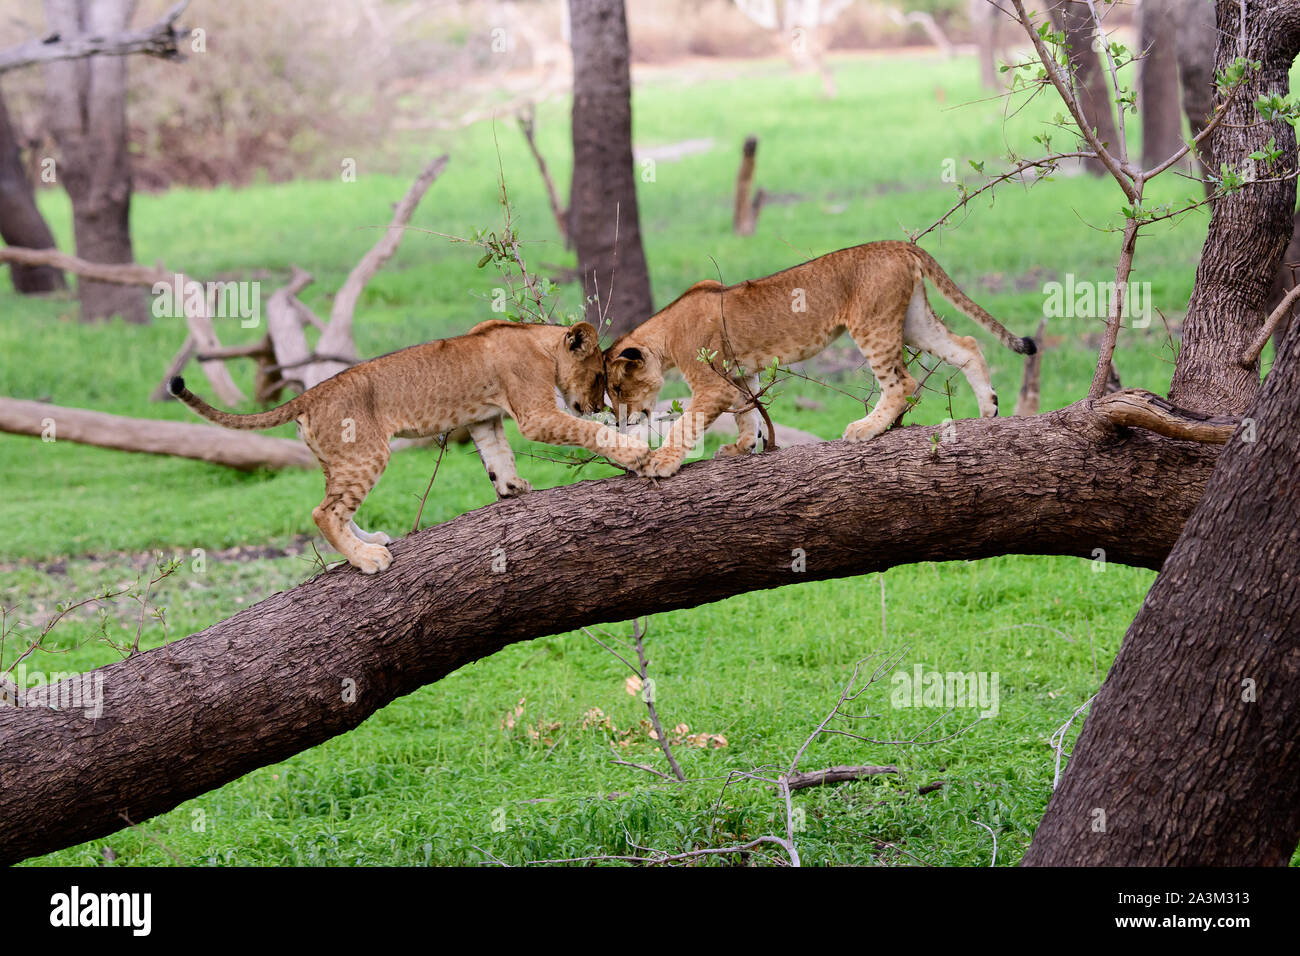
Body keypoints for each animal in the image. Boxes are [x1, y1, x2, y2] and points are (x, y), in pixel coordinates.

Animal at [169, 320, 649, 572]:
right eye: (598, 377)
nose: (596, 405)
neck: (538, 341)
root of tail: (309, 394)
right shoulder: (535, 414)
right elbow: (586, 433)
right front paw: (633, 453)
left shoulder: (483, 418)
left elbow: (498, 454)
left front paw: (512, 489)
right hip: (368, 453)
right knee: (323, 512)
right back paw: (367, 559)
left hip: (341, 459)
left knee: (335, 506)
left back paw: (370, 540)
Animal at [604, 241, 1036, 477]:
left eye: (619, 387)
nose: (624, 418)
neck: (664, 333)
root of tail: (898, 244)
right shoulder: (738, 374)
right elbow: (746, 410)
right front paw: (742, 447)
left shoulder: (710, 383)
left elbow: (686, 423)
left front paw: (661, 463)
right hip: (913, 321)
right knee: (967, 345)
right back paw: (989, 410)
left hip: (871, 324)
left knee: (903, 382)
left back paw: (867, 428)